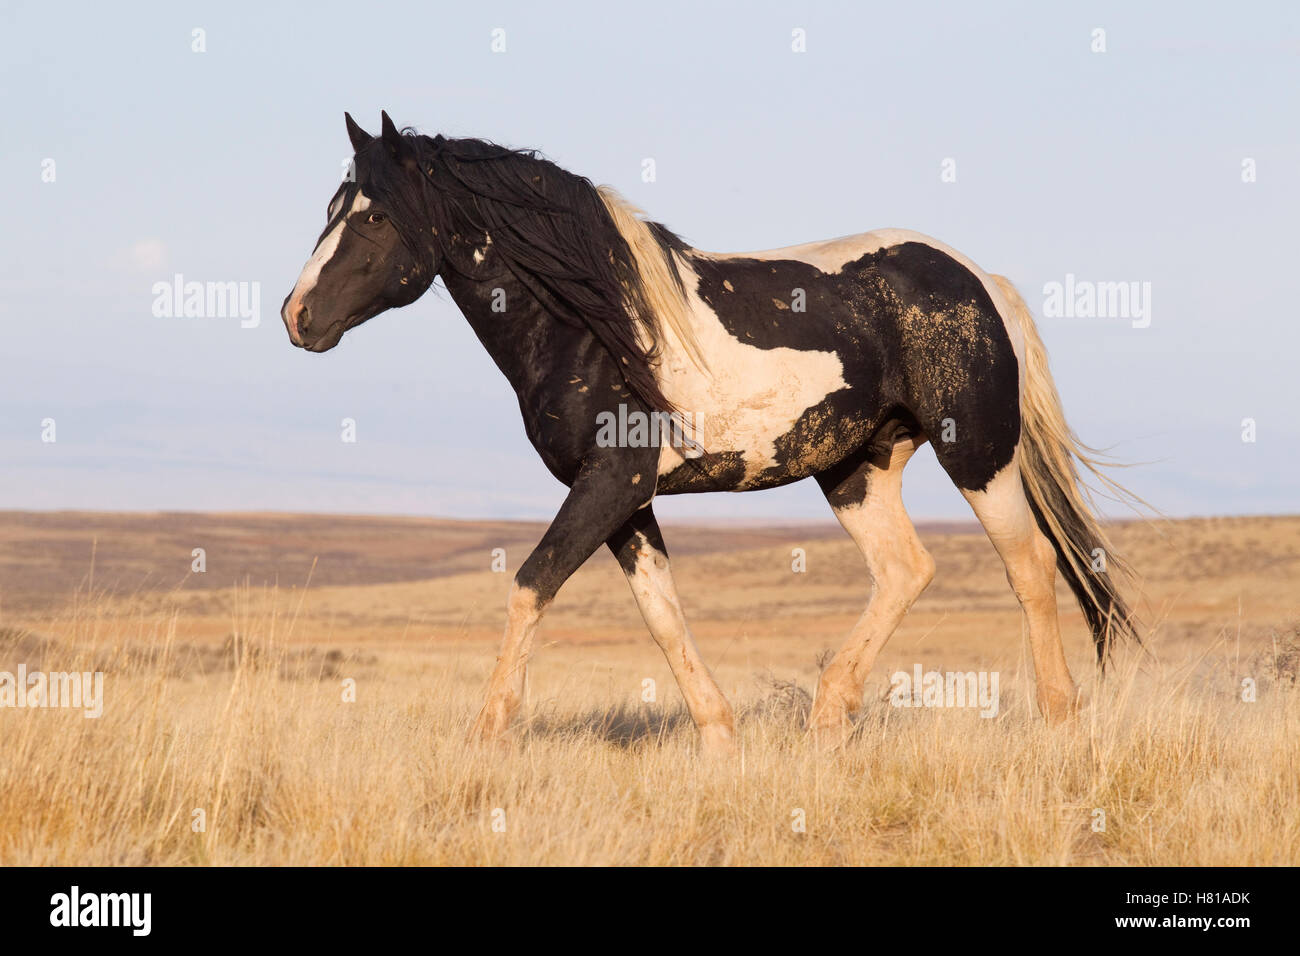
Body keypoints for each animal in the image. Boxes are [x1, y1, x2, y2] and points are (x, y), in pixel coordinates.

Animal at [281, 111, 1137, 753]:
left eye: (375, 216)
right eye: (329, 210)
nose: (297, 317)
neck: (594, 328)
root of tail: (978, 279)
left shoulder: (609, 483)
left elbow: (531, 584)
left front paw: (486, 735)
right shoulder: (626, 499)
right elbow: (661, 614)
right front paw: (720, 739)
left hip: (978, 452)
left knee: (1029, 565)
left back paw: (1060, 719)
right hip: (855, 470)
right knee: (906, 570)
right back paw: (828, 719)